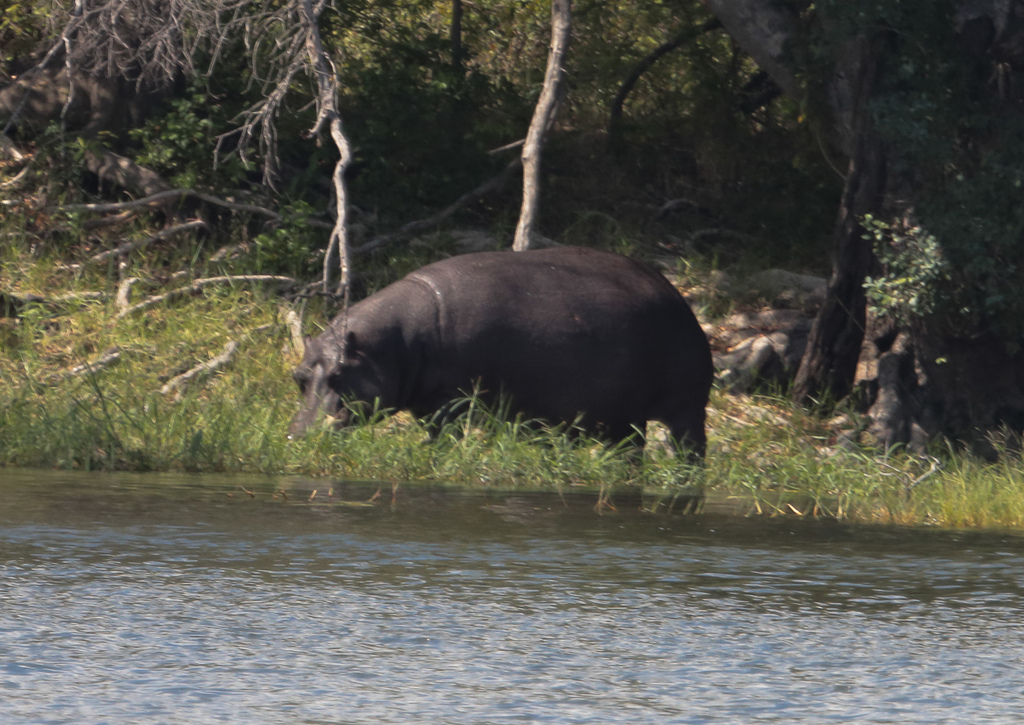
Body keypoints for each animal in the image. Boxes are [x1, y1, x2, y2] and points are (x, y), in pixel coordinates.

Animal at [288, 246, 713, 458]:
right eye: (298, 377)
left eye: (339, 375)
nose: (299, 435)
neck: (396, 342)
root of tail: (677, 295)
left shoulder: (450, 400)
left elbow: (441, 436)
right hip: (623, 418)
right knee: (630, 452)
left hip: (687, 408)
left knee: (689, 451)